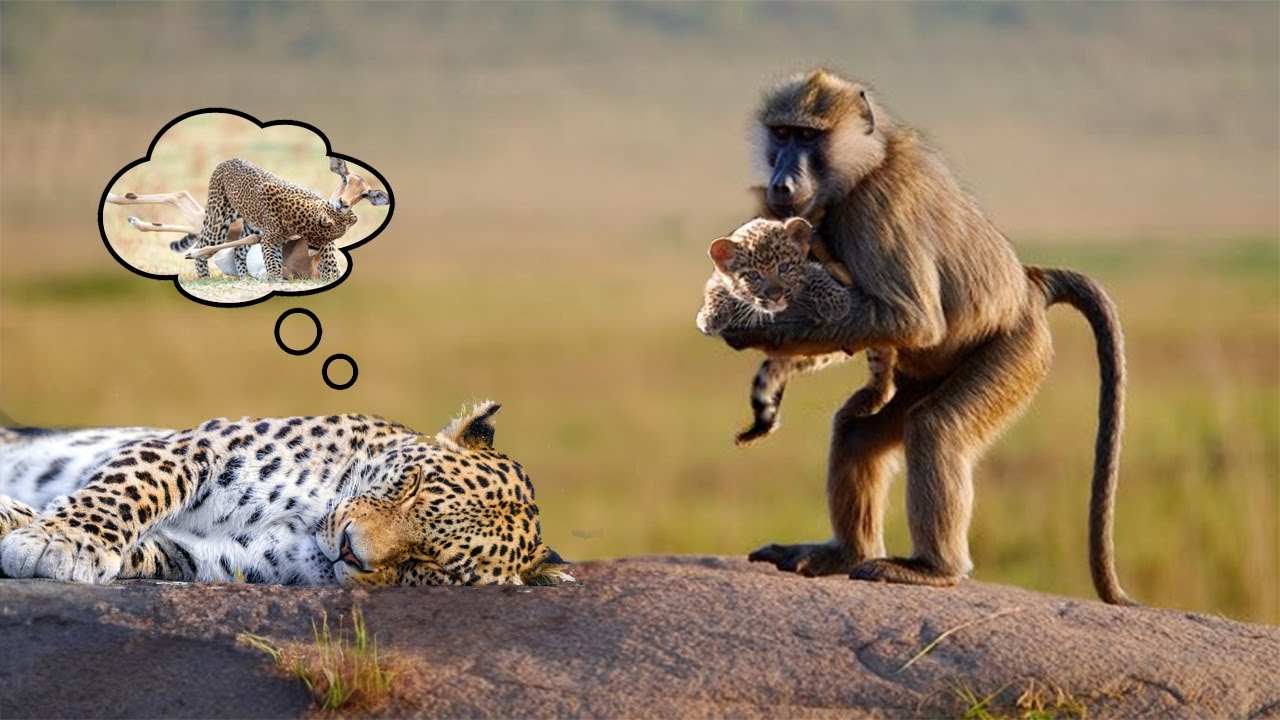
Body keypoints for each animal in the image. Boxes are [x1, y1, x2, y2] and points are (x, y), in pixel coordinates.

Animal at [0, 403, 572, 587]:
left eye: (429, 565)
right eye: (409, 487)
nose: (350, 550)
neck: (307, 521)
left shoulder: (210, 560)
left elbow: (146, 553)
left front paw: (26, 525)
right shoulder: (198, 447)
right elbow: (130, 490)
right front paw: (59, 540)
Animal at [192, 157, 388, 282]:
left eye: (363, 195)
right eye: (345, 180)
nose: (343, 203)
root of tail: (228, 160)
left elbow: (328, 254)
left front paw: (331, 273)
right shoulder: (271, 239)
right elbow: (273, 262)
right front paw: (274, 278)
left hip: (251, 225)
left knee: (240, 250)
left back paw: (245, 276)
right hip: (218, 221)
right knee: (203, 243)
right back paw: (203, 275)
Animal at [695, 217, 897, 446]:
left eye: (784, 268)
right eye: (753, 276)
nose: (775, 295)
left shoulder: (814, 266)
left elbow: (816, 274)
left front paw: (837, 302)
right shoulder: (718, 279)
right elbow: (715, 290)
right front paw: (710, 316)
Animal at [719, 69, 1133, 605]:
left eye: (809, 136)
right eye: (783, 133)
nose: (781, 183)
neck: (863, 166)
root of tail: (1028, 285)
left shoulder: (879, 207)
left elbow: (913, 318)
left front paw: (750, 324)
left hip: (1017, 353)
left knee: (937, 427)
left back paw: (932, 568)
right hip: (936, 374)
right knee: (857, 434)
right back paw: (845, 554)